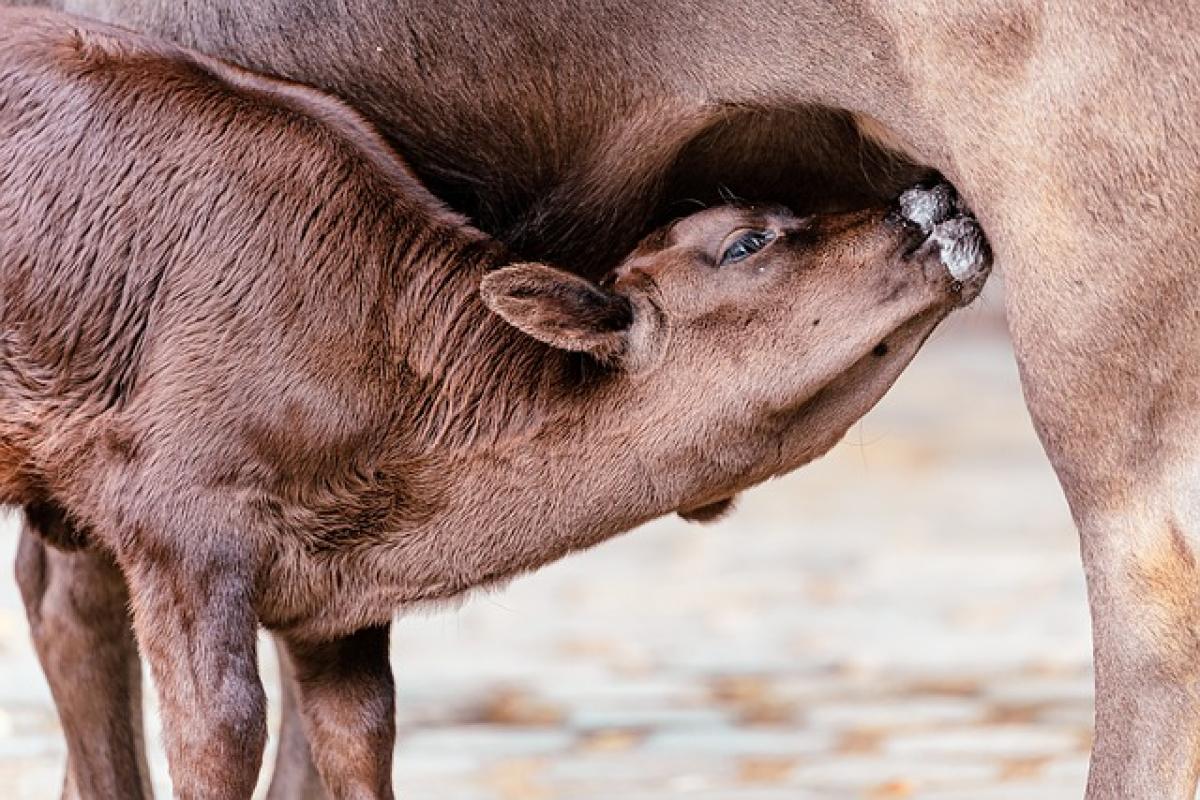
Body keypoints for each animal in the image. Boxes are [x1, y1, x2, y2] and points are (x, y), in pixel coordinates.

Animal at [7, 1, 1200, 800]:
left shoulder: (327, 607)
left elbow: (349, 739)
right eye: (744, 238)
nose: (932, 199)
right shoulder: (177, 533)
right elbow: (214, 732)